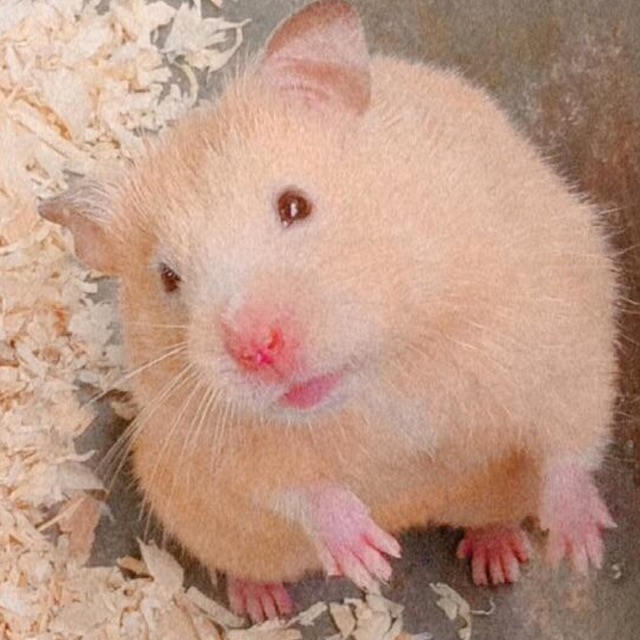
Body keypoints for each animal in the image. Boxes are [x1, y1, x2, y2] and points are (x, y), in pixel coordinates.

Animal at [40, 0, 618, 623]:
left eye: (295, 205)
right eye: (168, 278)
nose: (258, 348)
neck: (368, 382)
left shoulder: (560, 319)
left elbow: (568, 432)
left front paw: (582, 547)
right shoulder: (218, 448)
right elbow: (297, 488)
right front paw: (370, 557)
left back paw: (500, 558)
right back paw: (263, 604)